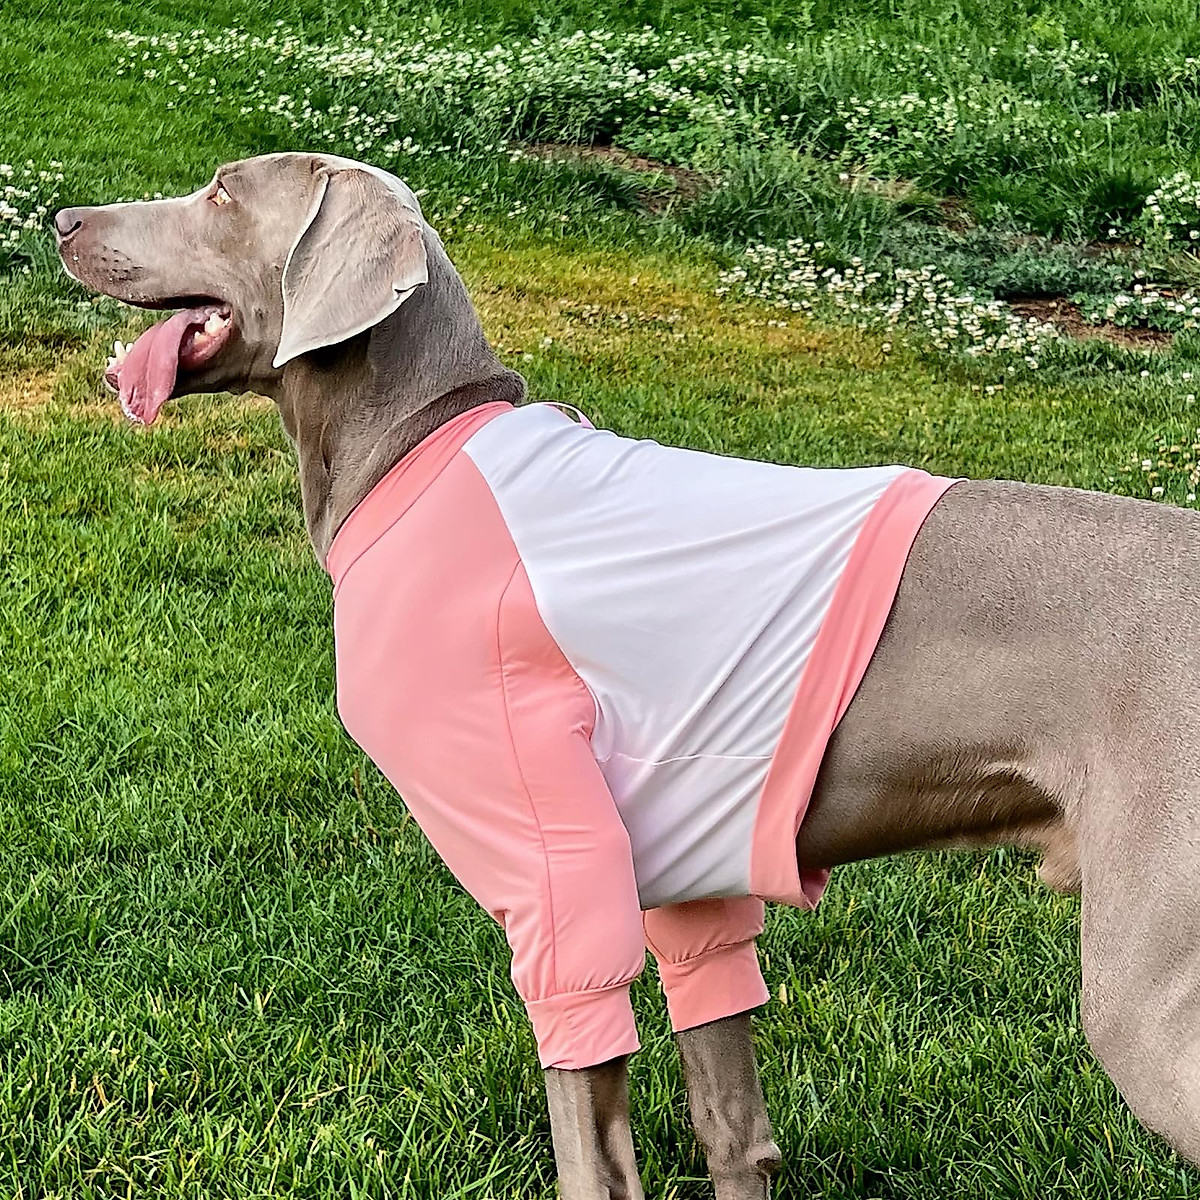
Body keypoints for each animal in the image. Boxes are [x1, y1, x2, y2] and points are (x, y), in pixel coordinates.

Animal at [54, 152, 1200, 1198]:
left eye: (221, 193)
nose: (63, 216)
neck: (420, 444)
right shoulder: (690, 883)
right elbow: (732, 1123)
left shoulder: (558, 887)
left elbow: (593, 1153)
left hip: (1147, 992)